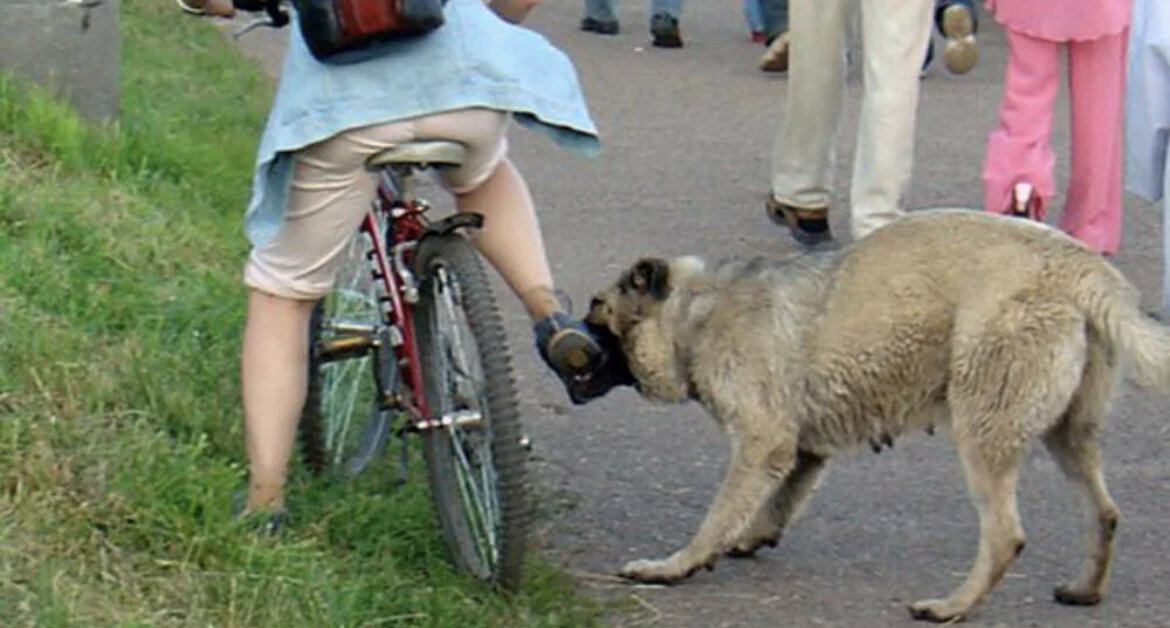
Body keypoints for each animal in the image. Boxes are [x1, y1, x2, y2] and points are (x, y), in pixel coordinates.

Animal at [589, 209, 1170, 617]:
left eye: (598, 310)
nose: (573, 334)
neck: (698, 306)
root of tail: (1081, 267)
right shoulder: (802, 449)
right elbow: (775, 502)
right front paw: (751, 535)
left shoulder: (761, 442)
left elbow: (716, 517)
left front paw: (675, 565)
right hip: (1069, 435)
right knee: (1105, 513)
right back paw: (1085, 589)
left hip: (983, 431)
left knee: (1005, 535)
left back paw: (952, 607)